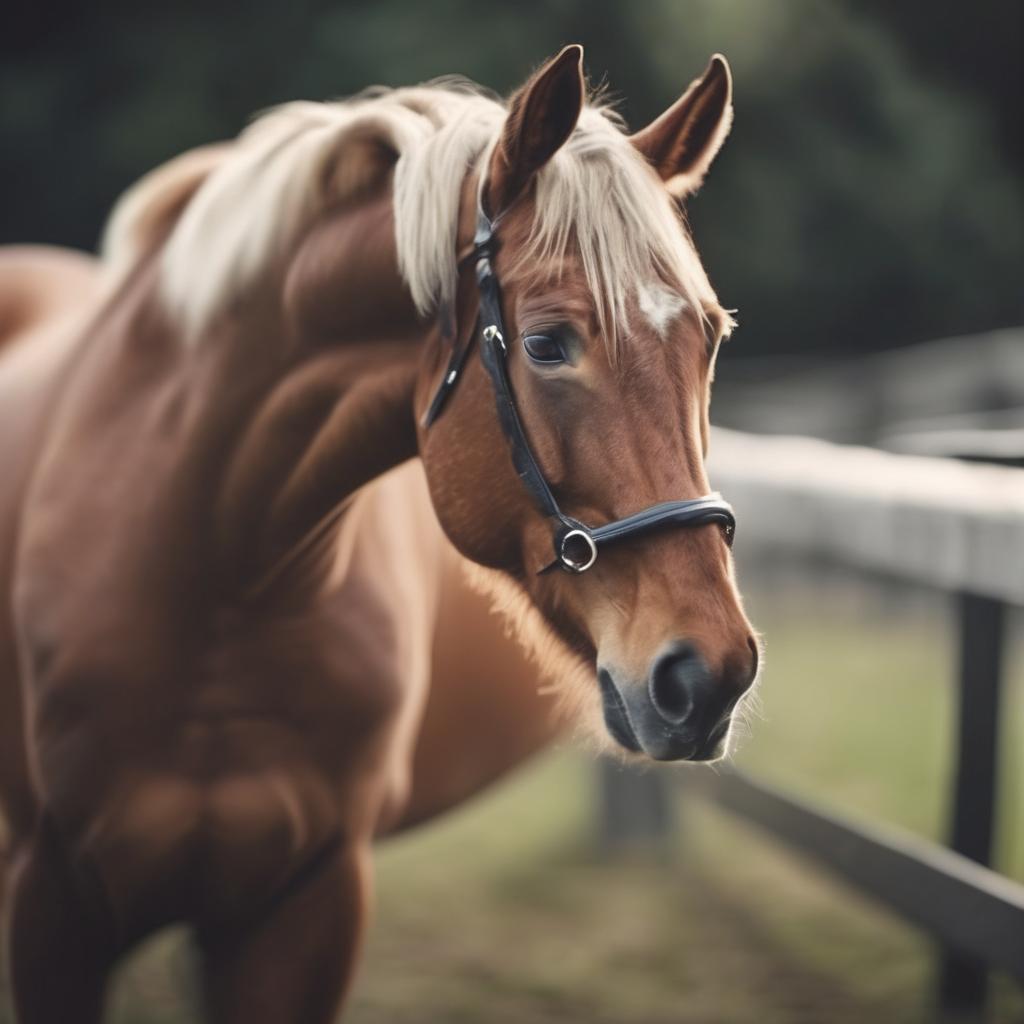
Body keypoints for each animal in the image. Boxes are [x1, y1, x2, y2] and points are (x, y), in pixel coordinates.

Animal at [0, 45, 757, 1023]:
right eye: (547, 344)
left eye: (709, 336)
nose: (710, 675)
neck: (219, 575)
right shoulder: (50, 904)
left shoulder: (309, 902)